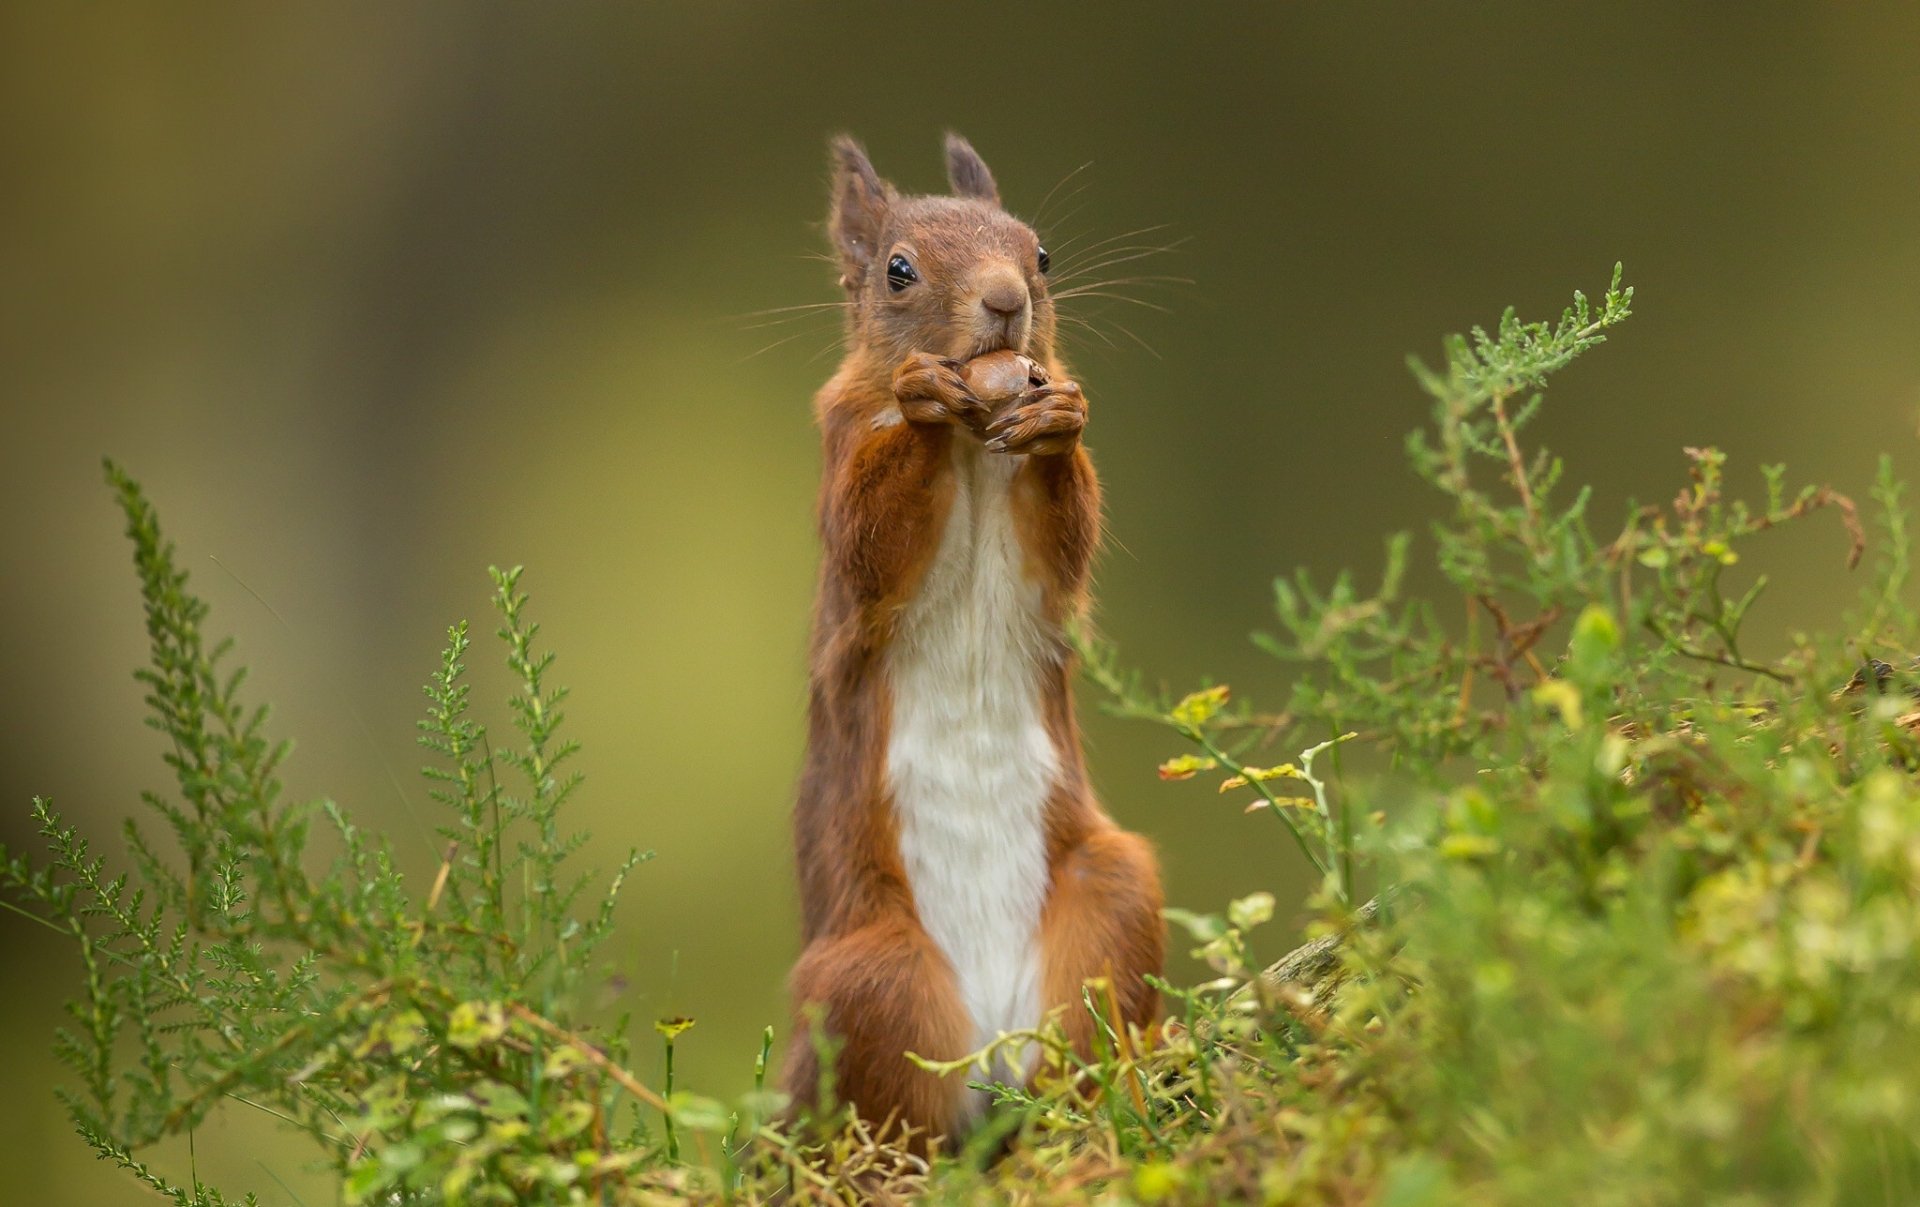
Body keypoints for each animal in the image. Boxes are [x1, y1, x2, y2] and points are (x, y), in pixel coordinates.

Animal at [780, 133, 1165, 1146]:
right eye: (897, 269)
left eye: (1043, 256)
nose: (1005, 301)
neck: (973, 441)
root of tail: (992, 1049)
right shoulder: (843, 466)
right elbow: (872, 535)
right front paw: (920, 396)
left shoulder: (1045, 561)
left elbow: (1069, 533)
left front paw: (1059, 419)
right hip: (872, 975)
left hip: (1112, 895)